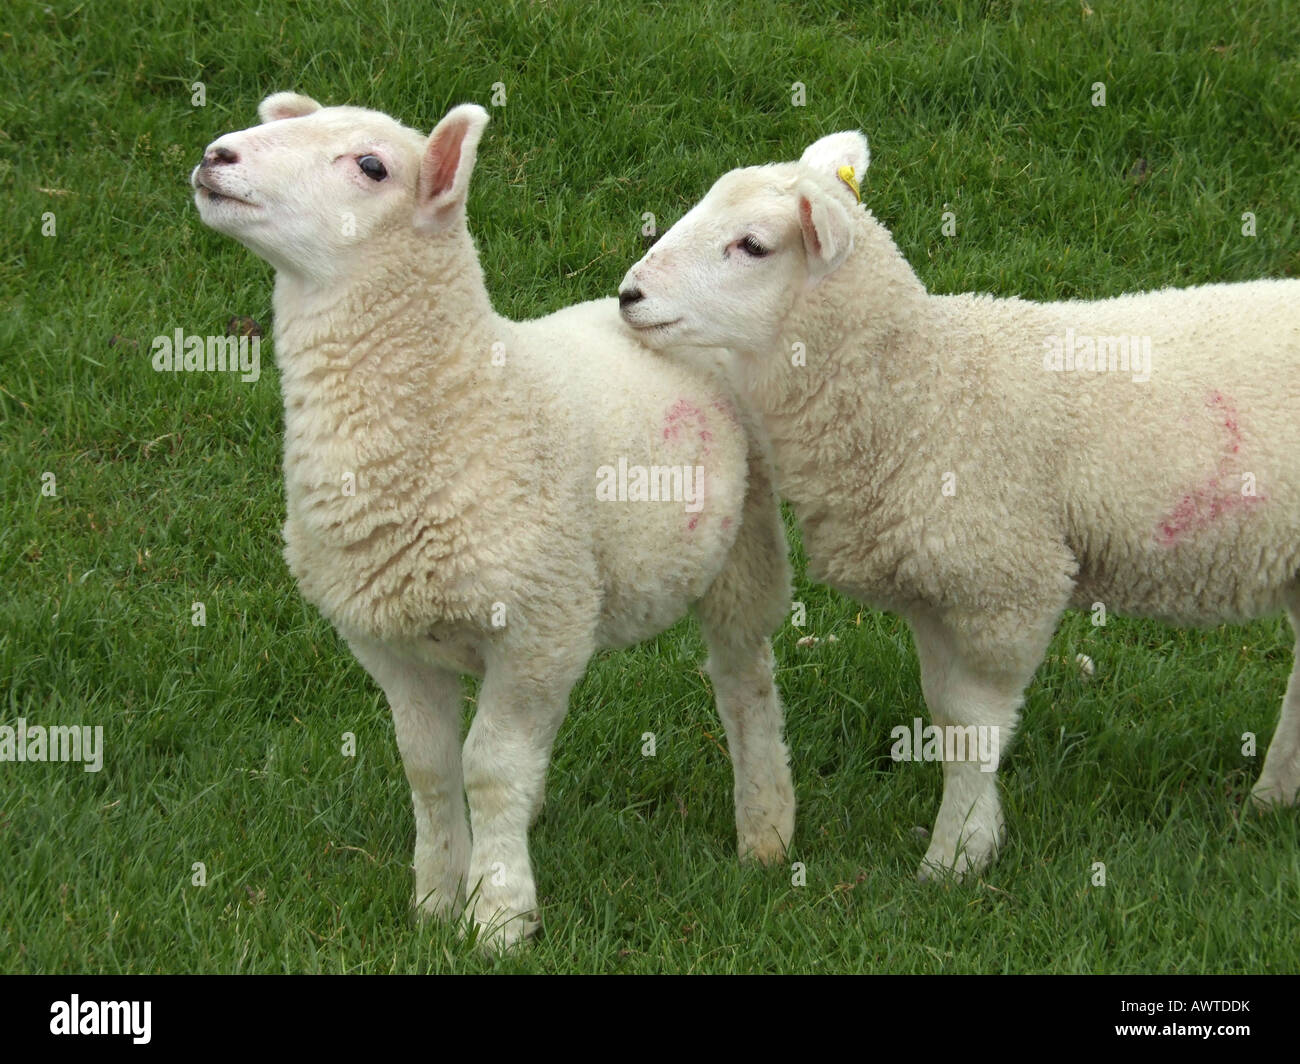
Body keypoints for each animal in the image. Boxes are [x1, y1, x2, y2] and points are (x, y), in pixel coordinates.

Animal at [190, 93, 796, 950]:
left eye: (371, 166)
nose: (218, 156)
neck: (467, 396)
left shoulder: (541, 625)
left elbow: (491, 769)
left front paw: (500, 915)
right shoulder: (389, 639)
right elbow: (431, 769)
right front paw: (435, 901)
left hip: (745, 541)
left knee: (745, 681)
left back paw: (766, 830)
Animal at [618, 129, 1300, 880]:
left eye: (752, 246)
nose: (629, 294)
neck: (926, 389)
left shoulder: (1007, 585)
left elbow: (974, 729)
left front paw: (954, 858)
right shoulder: (934, 595)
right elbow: (945, 717)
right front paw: (972, 836)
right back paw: (1275, 797)